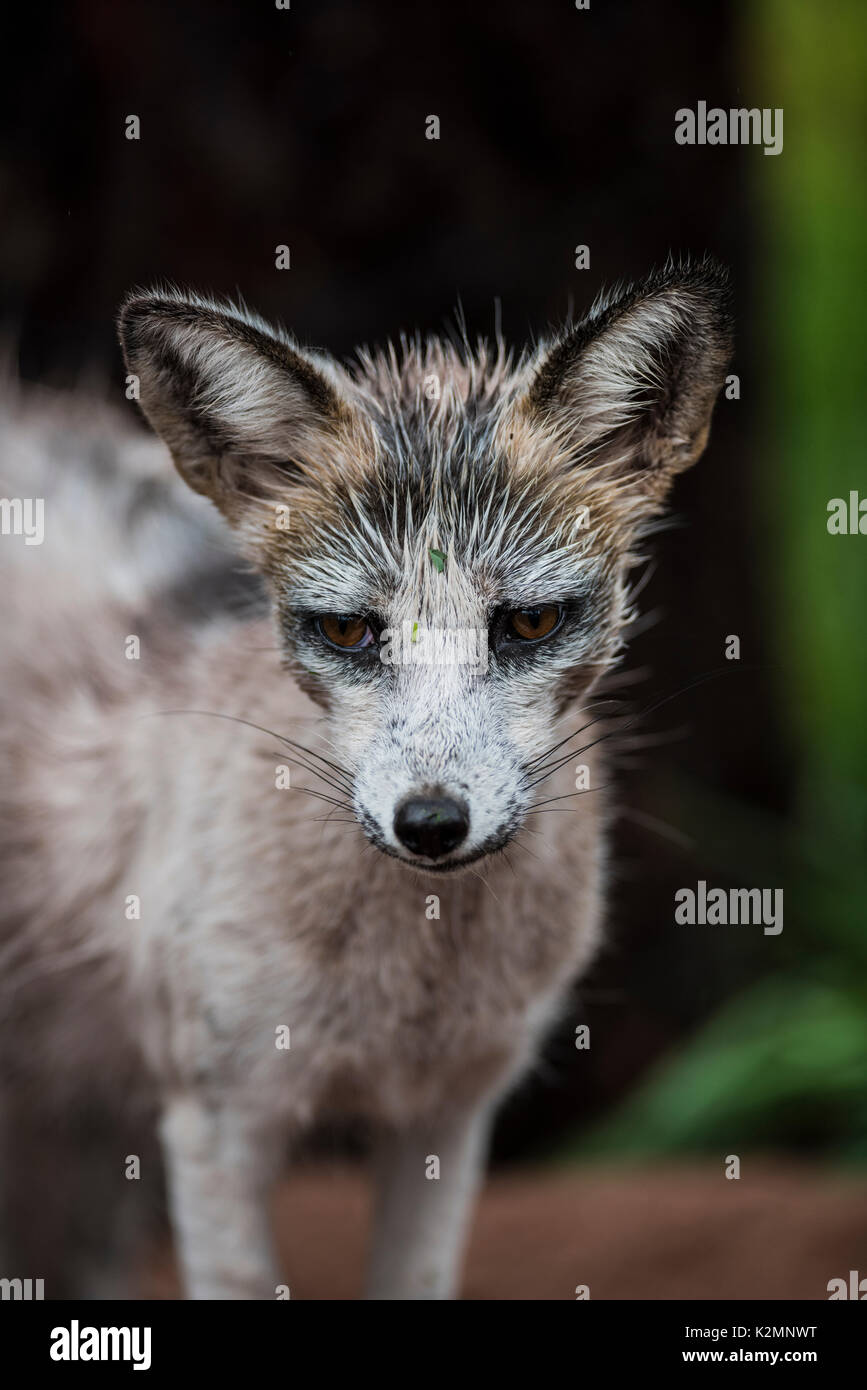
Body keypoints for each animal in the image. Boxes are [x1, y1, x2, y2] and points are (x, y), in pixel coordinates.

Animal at [0, 258, 732, 1299]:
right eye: (347, 630)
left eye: (531, 623)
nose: (430, 822)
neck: (402, 1003)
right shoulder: (216, 1119)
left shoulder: (446, 1116)